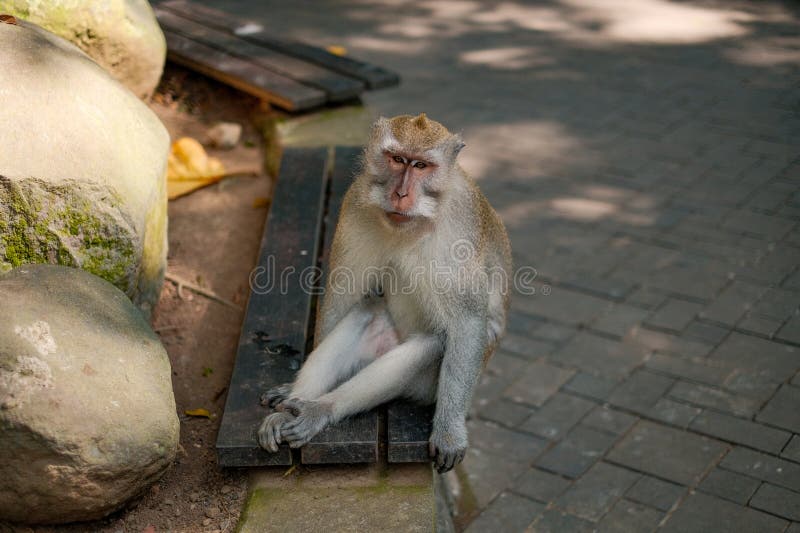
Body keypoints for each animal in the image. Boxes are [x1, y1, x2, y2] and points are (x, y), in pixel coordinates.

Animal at [257, 113, 511, 473]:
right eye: (397, 159)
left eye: (421, 165)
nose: (401, 193)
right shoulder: (356, 203)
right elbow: (343, 296)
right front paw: (291, 394)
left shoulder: (460, 224)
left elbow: (467, 323)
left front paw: (449, 433)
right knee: (364, 312)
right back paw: (295, 404)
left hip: (426, 387)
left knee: (430, 344)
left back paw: (321, 409)